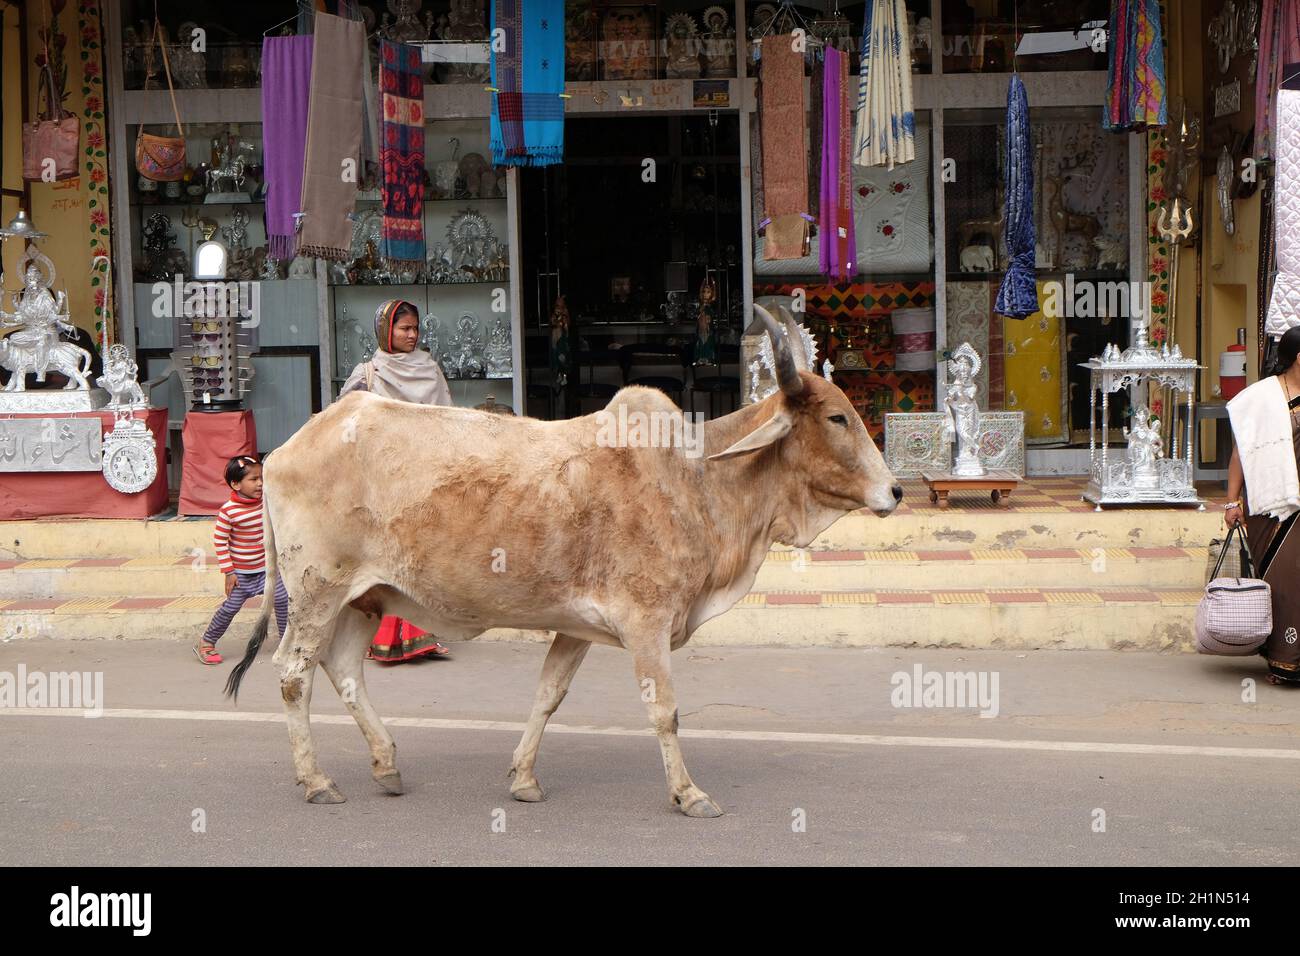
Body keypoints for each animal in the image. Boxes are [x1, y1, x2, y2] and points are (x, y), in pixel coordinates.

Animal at [225, 305, 901, 817]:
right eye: (837, 417)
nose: (894, 491)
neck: (697, 477)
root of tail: (290, 445)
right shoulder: (646, 622)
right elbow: (665, 710)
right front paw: (688, 793)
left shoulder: (577, 626)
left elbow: (548, 695)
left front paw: (524, 779)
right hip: (316, 591)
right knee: (293, 672)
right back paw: (316, 781)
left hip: (365, 597)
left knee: (343, 670)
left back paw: (387, 764)